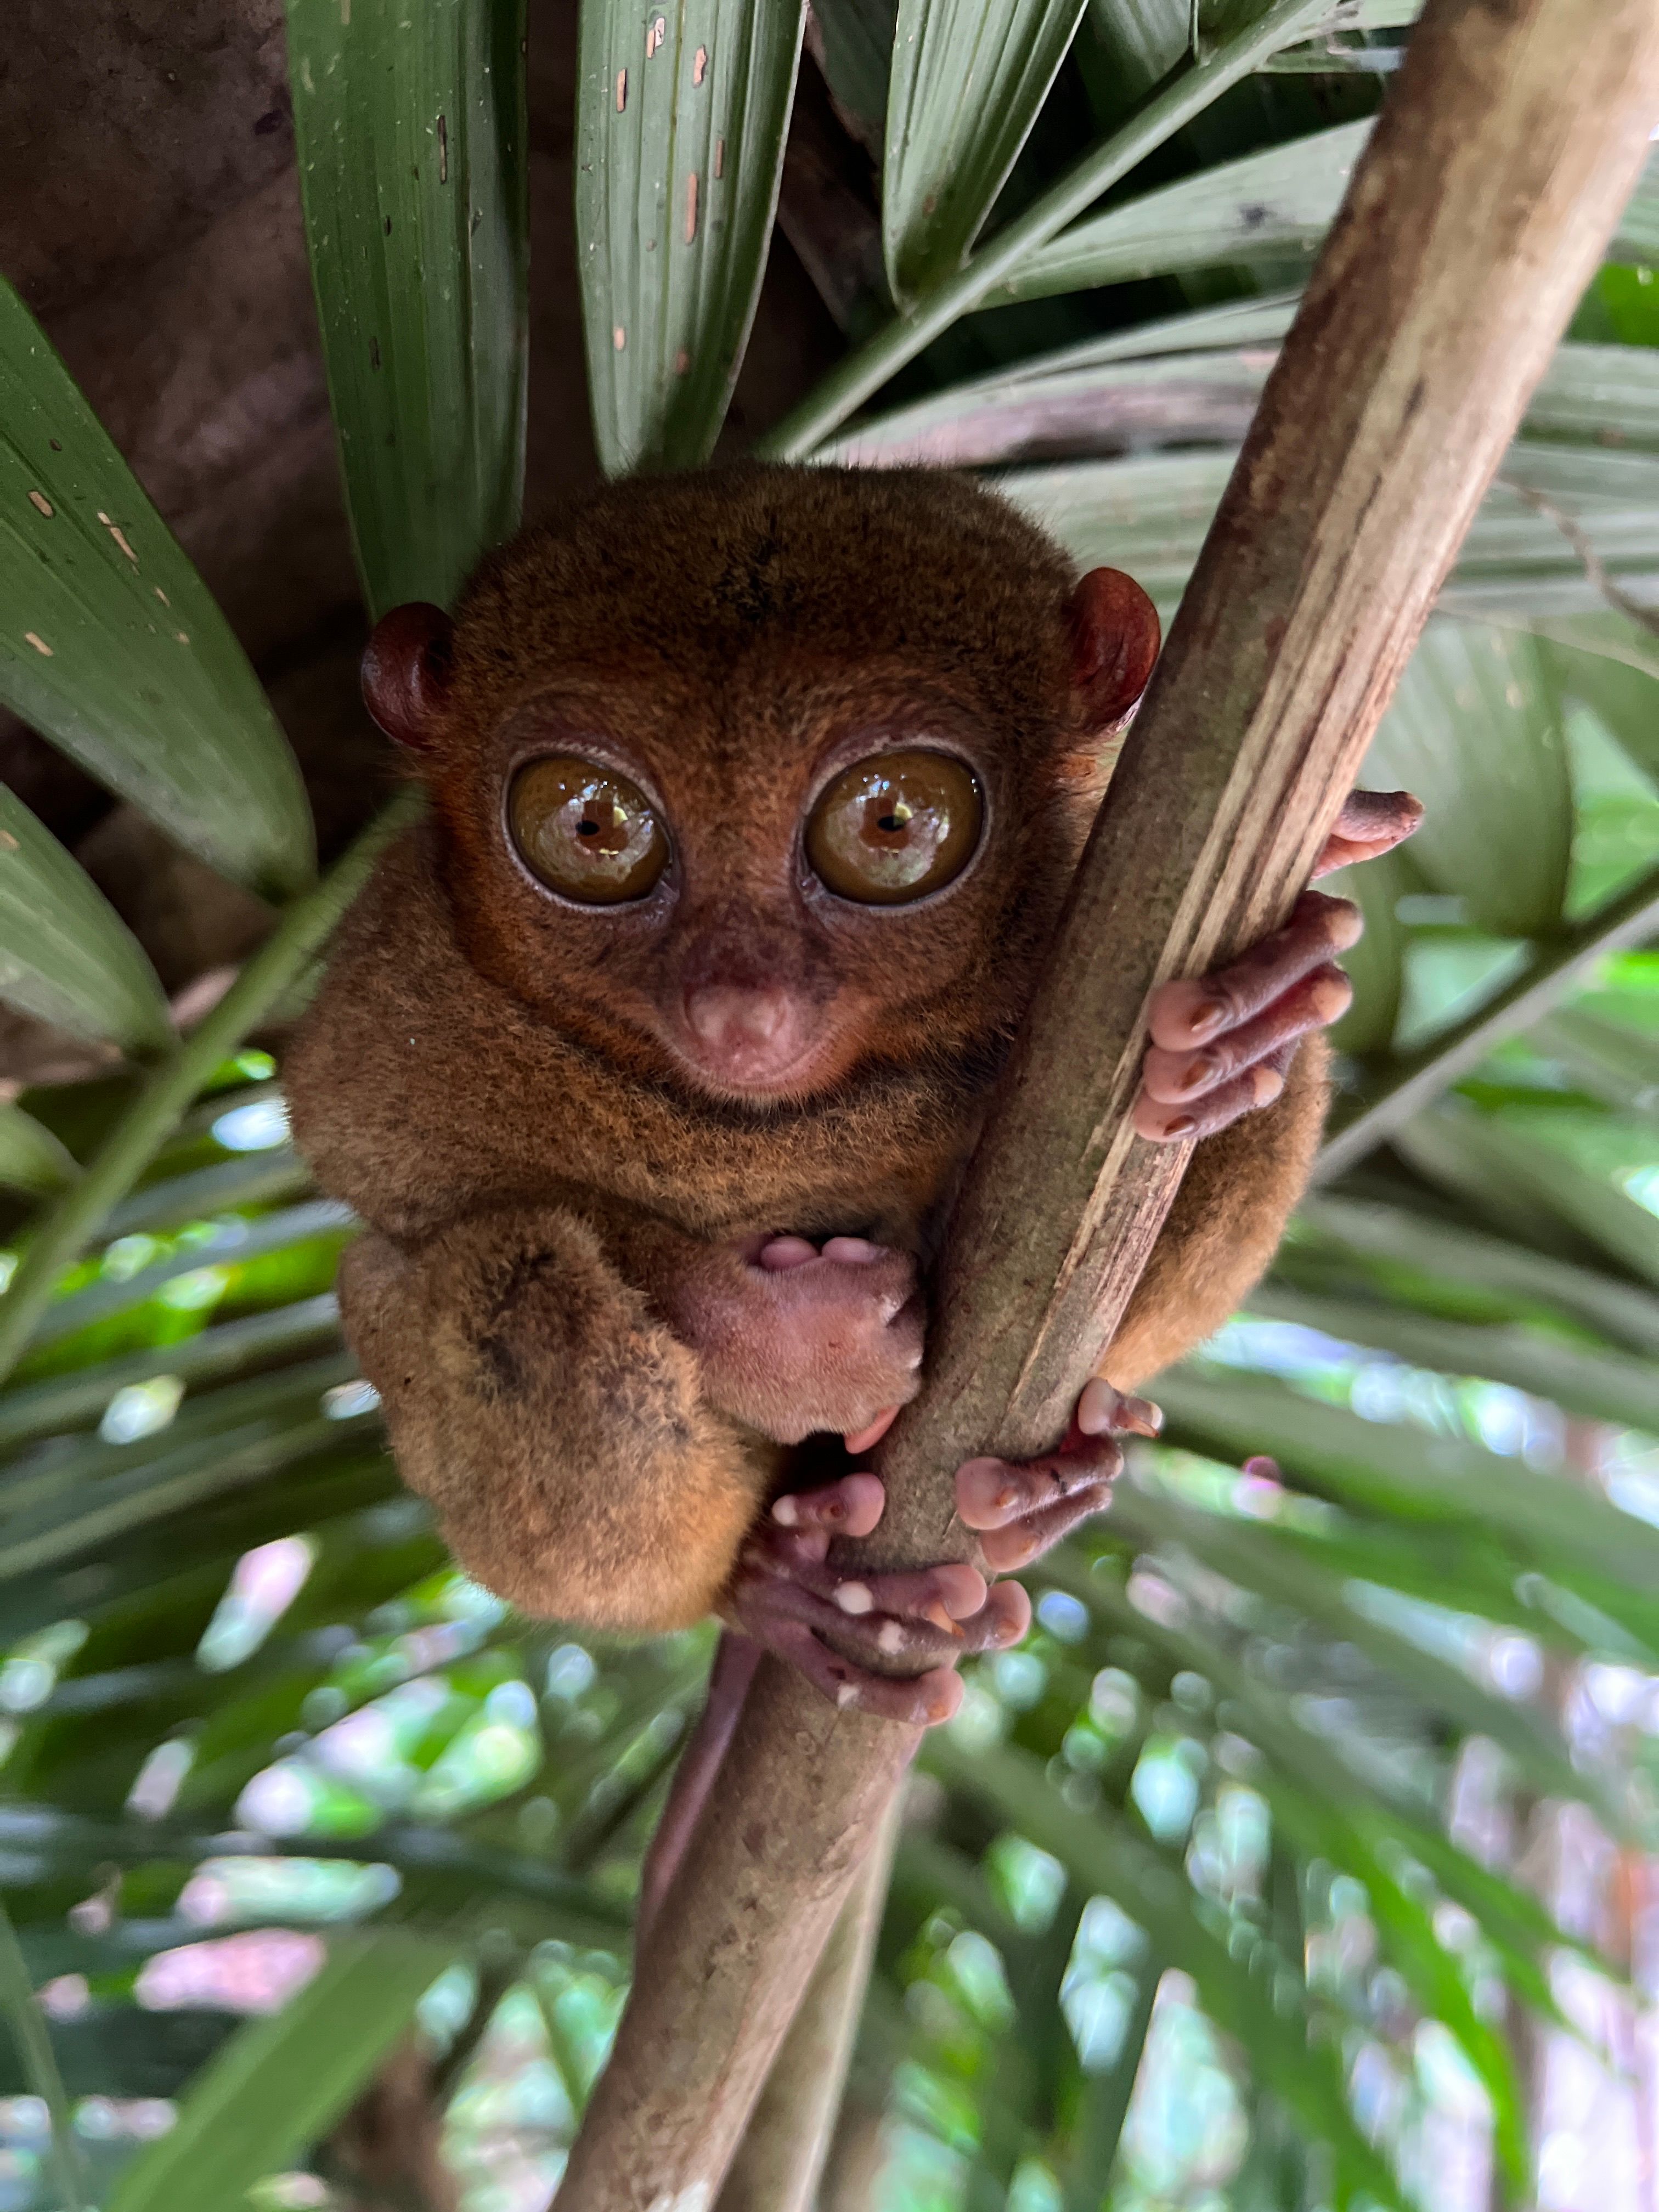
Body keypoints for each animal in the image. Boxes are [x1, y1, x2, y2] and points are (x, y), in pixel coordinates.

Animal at [283, 462, 1419, 1736]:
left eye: (892, 823)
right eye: (590, 825)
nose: (743, 1007)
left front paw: (1247, 1014)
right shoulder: (401, 981)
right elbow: (376, 1156)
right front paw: (803, 1343)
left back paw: (1054, 1477)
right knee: (492, 1283)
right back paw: (772, 1585)